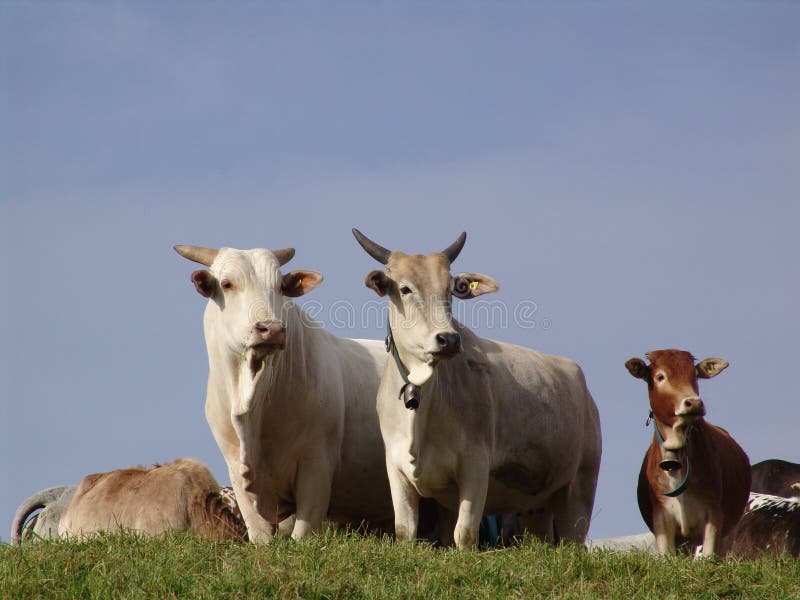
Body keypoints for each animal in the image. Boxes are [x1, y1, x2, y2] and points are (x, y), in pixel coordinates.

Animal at [174, 244, 395, 542]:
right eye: (227, 284)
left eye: (280, 286)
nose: (271, 329)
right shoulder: (236, 467)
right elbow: (260, 534)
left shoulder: (317, 464)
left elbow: (302, 533)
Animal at [352, 229, 602, 549]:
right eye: (405, 289)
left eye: (450, 290)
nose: (448, 339)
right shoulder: (396, 471)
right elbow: (404, 531)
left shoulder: (475, 466)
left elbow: (465, 534)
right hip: (535, 506)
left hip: (579, 488)